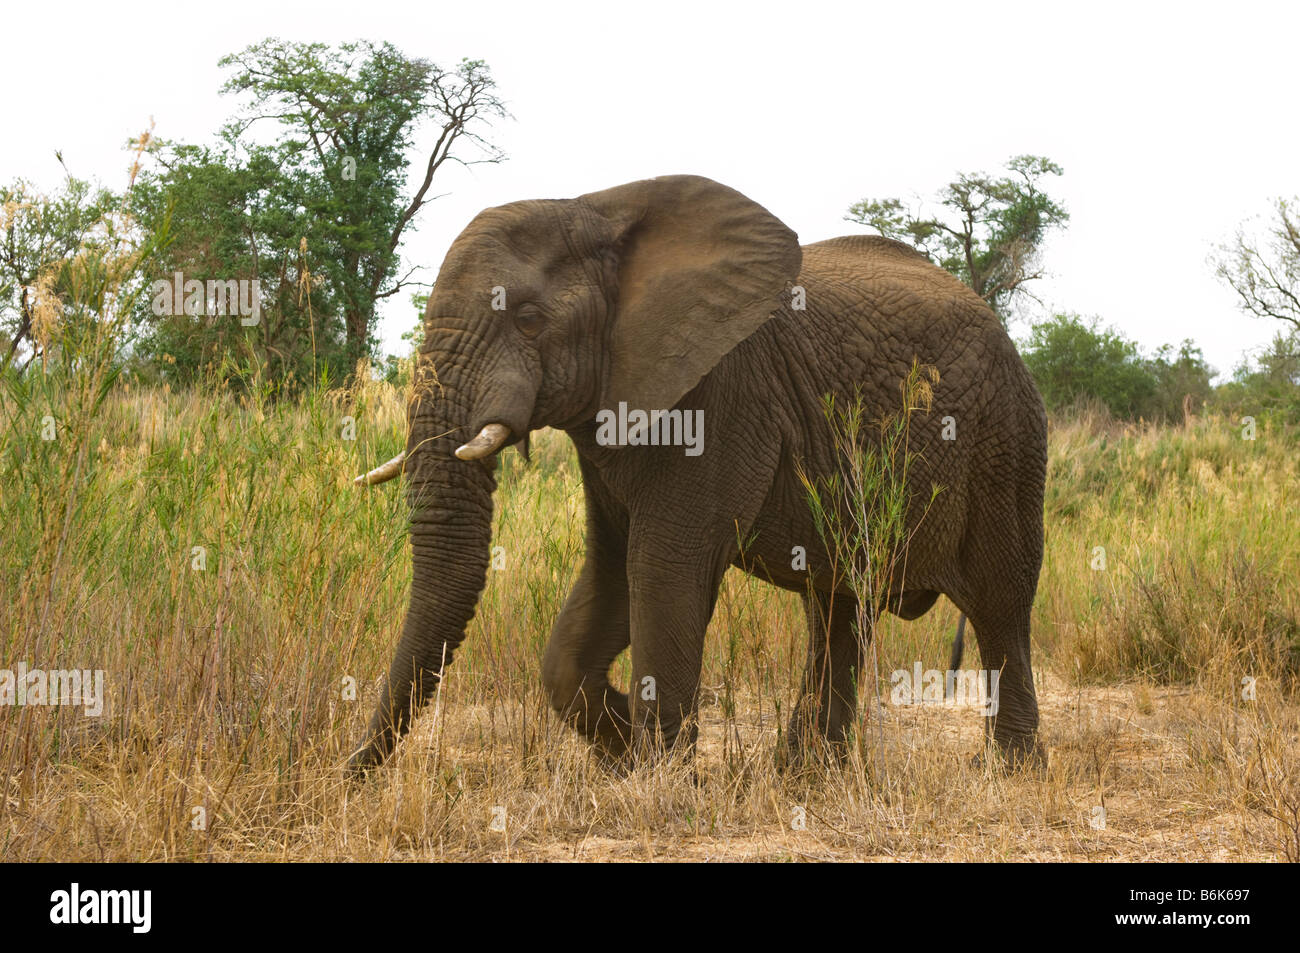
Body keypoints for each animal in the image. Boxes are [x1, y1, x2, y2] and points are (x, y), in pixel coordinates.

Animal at [346, 174, 1047, 776]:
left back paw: (1007, 771)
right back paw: (803, 776)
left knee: (1000, 605)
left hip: (1007, 440)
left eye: (527, 319)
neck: (597, 207)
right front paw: (630, 748)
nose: (343, 773)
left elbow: (662, 568)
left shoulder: (724, 394)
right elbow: (604, 583)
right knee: (838, 609)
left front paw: (657, 774)